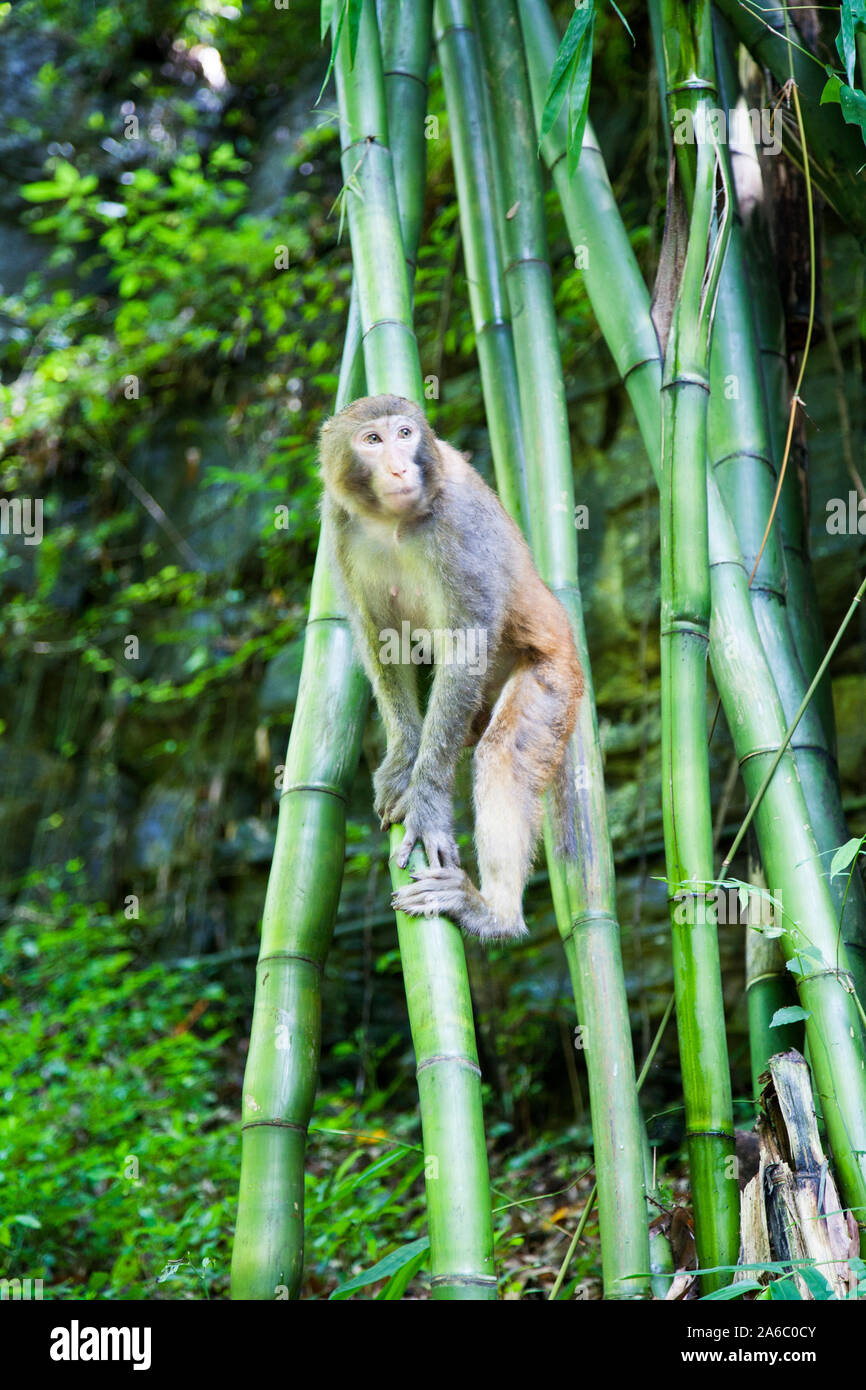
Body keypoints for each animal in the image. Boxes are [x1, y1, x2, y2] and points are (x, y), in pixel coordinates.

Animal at [318, 394, 583, 941]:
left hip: (556, 678)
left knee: (503, 752)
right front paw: (404, 760)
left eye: (405, 434)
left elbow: (466, 647)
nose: (399, 466)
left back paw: (494, 913)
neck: (391, 522)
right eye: (372, 440)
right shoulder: (335, 525)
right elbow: (382, 642)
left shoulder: (460, 522)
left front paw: (429, 807)